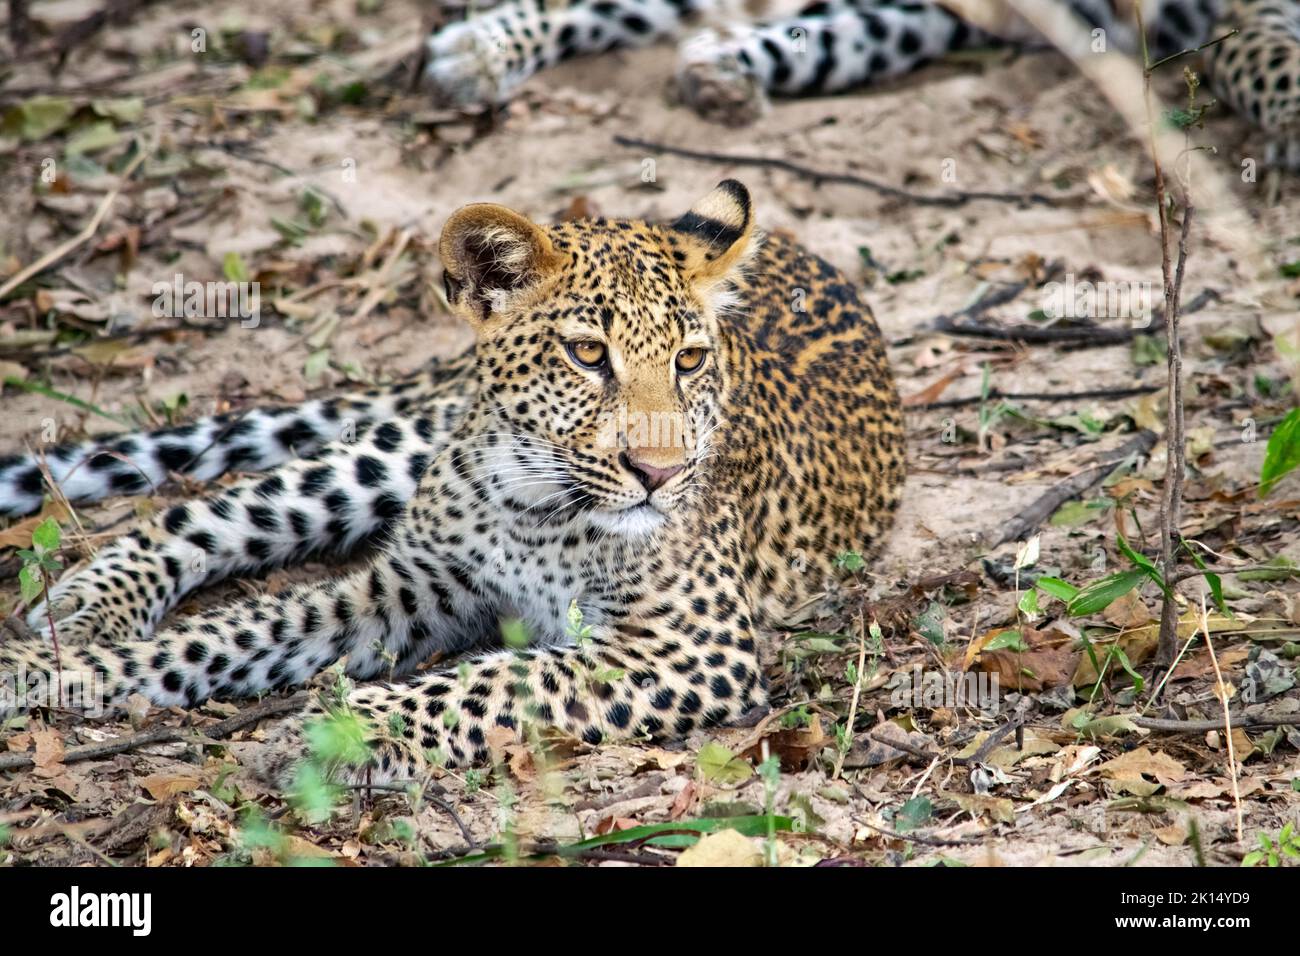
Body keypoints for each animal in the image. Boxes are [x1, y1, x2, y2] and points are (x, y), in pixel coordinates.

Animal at [0, 181, 905, 782]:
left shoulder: (688, 646)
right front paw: (44, 671)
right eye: (588, 354)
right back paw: (92, 604)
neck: (536, 507)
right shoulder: (407, 584)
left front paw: (340, 730)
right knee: (225, 507)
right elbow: (227, 633)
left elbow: (491, 680)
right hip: (394, 449)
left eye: (689, 361)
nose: (661, 473)